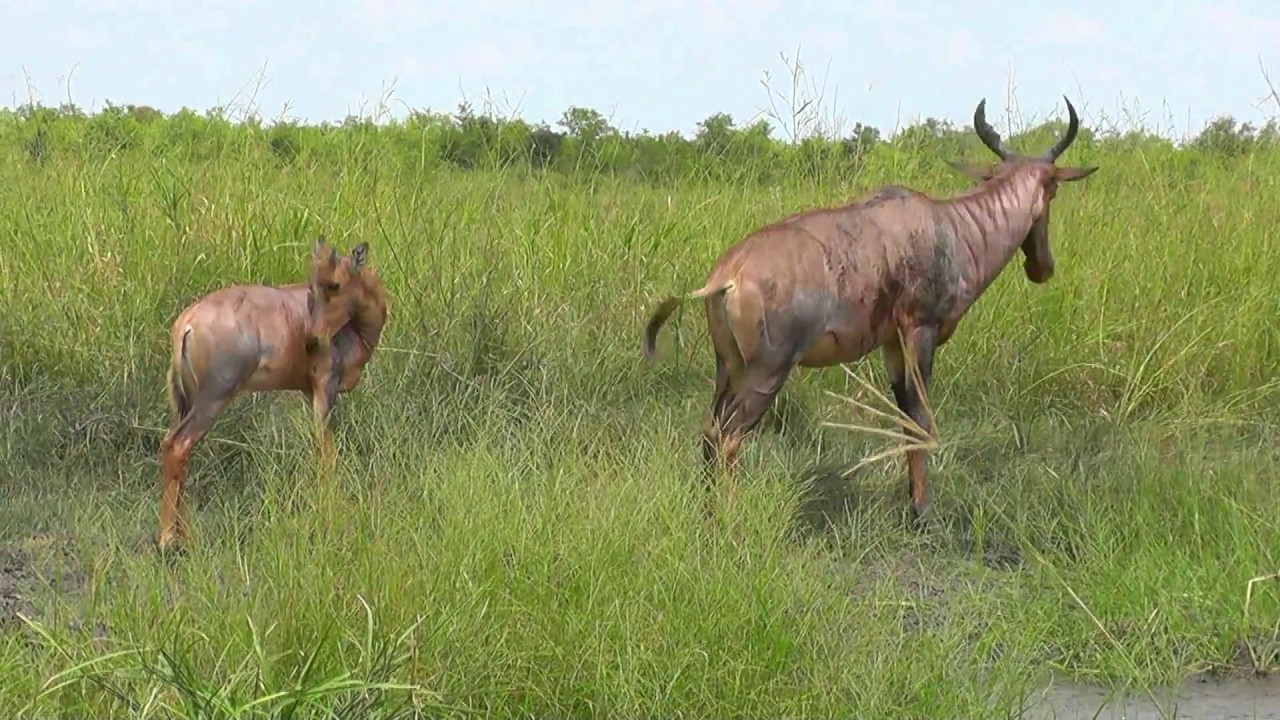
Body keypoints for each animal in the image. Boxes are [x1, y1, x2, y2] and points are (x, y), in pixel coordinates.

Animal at [156, 237, 389, 552]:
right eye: (314, 285)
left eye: (334, 284)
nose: (312, 342)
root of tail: (186, 324)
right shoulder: (325, 387)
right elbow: (328, 450)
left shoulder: (308, 392)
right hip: (213, 398)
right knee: (179, 445)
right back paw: (170, 539)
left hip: (185, 402)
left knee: (174, 449)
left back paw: (184, 536)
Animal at [643, 96, 1097, 522]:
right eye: (1053, 188)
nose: (1042, 267)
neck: (948, 225)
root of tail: (728, 274)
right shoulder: (921, 332)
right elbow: (921, 419)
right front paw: (923, 512)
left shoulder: (892, 344)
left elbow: (904, 419)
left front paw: (911, 501)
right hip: (766, 372)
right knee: (729, 436)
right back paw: (731, 515)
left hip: (728, 367)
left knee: (709, 429)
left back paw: (707, 511)